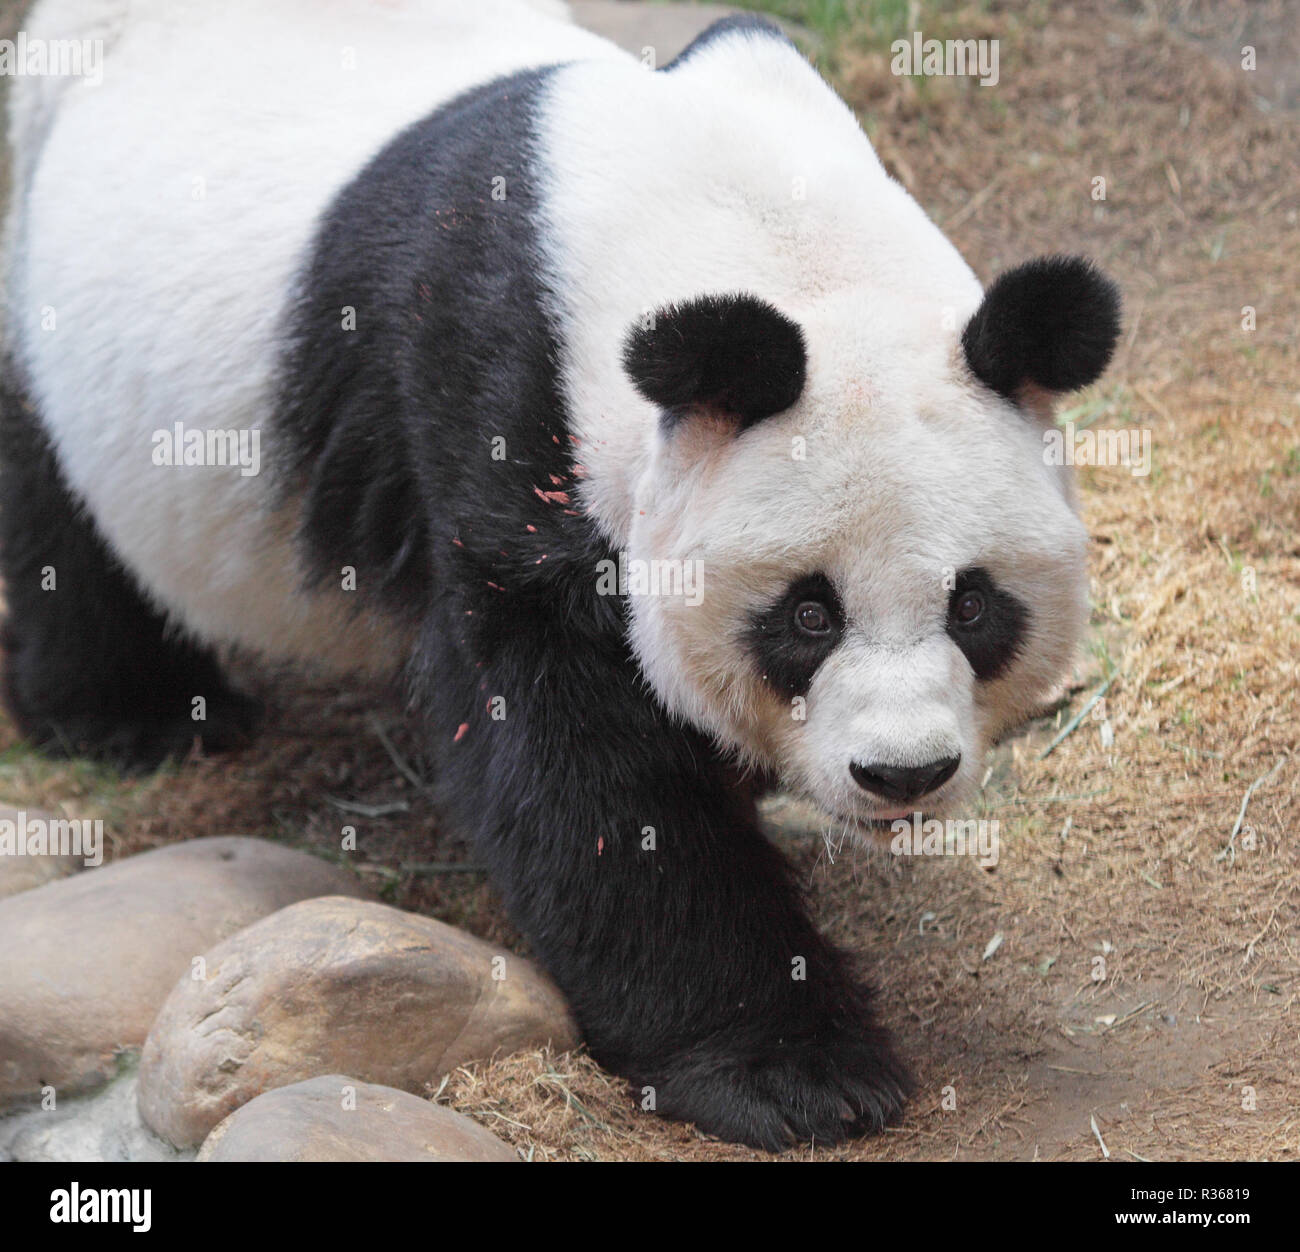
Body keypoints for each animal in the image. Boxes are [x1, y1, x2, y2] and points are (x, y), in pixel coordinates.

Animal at [1, 0, 1119, 1149]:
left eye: (974, 604)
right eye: (808, 615)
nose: (902, 774)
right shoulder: (493, 390)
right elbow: (566, 742)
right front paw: (789, 1070)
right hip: (56, 286)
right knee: (62, 501)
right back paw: (131, 714)